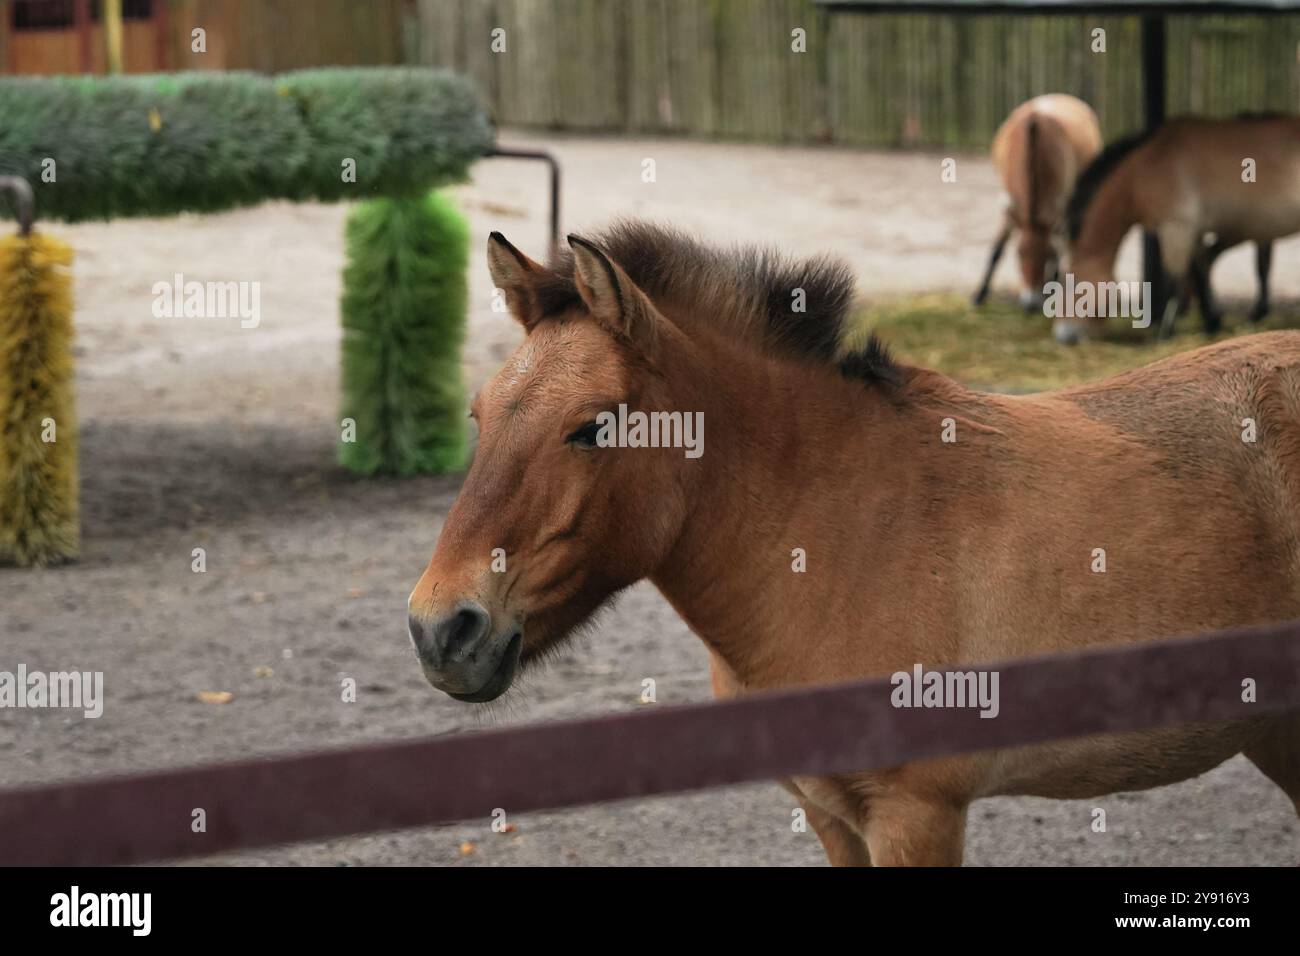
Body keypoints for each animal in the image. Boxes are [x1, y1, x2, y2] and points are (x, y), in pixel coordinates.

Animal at [408, 221, 1300, 866]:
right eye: (479, 415)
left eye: (592, 427)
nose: (441, 629)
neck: (842, 535)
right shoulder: (831, 815)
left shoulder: (915, 815)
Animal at [972, 94, 1102, 310]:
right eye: (1019, 254)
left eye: (1047, 255)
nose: (1031, 305)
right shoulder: (1013, 207)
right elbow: (997, 250)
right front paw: (979, 294)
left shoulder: (1059, 205)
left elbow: (1060, 245)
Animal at [1061, 114, 1300, 344]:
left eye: (1072, 283)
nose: (1063, 334)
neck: (1146, 166)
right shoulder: (1194, 231)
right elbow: (1201, 270)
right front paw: (1211, 322)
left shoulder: (1176, 229)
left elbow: (1173, 279)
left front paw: (1164, 333)